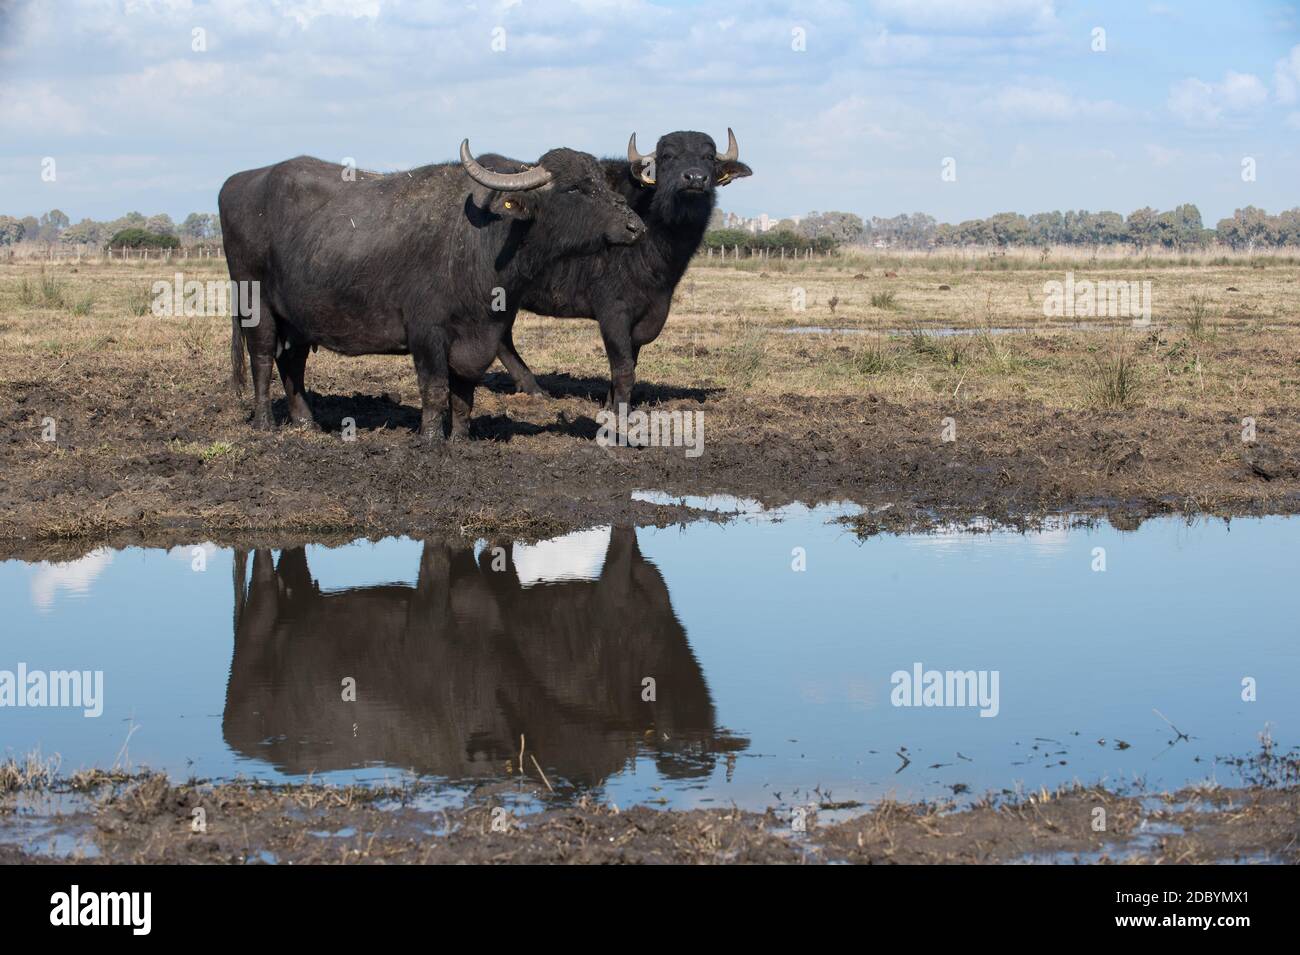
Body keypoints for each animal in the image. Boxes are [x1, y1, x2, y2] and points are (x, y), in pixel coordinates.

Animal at [218, 142, 645, 442]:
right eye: (575, 189)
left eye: (601, 182)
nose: (635, 226)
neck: (481, 240)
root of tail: (239, 181)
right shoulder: (426, 332)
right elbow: (436, 388)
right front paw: (430, 438)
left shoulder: (480, 334)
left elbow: (464, 392)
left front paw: (459, 437)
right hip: (255, 302)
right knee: (262, 358)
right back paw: (265, 423)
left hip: (299, 316)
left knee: (292, 362)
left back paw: (306, 422)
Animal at [488, 129, 751, 410]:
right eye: (667, 156)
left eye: (709, 156)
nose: (695, 178)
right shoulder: (613, 311)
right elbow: (624, 368)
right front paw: (618, 410)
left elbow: (630, 362)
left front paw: (610, 403)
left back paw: (534, 389)